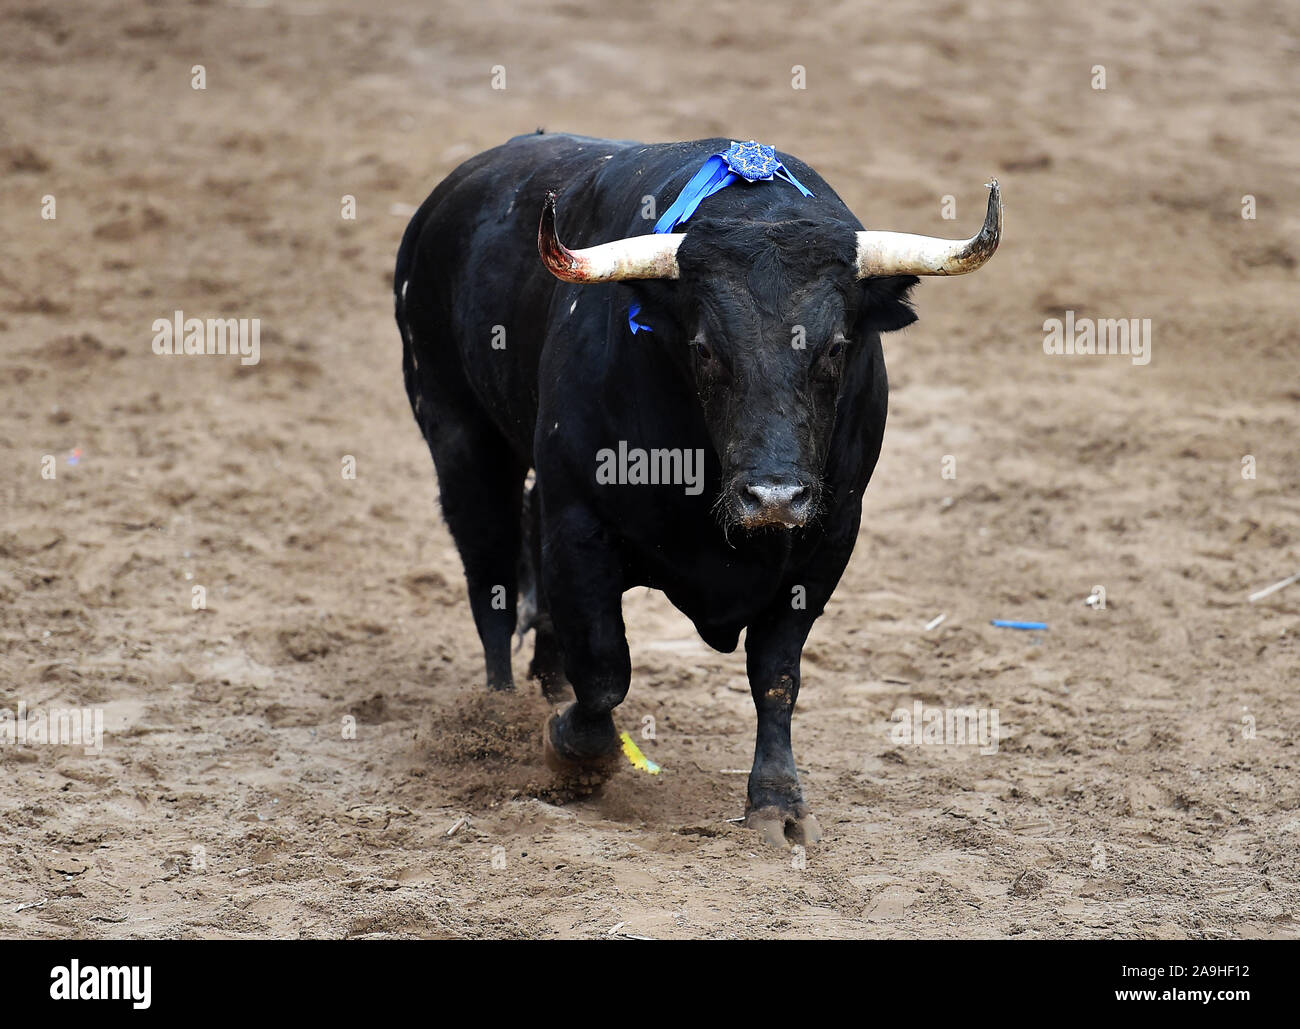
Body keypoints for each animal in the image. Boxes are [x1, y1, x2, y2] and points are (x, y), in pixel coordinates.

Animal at [394, 132, 1001, 847]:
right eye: (705, 349)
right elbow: (605, 667)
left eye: (835, 347)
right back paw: (497, 721)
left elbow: (776, 674)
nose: (773, 498)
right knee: (491, 584)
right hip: (460, 436)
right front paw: (572, 752)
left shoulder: (827, 538)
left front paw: (778, 802)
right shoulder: (579, 521)